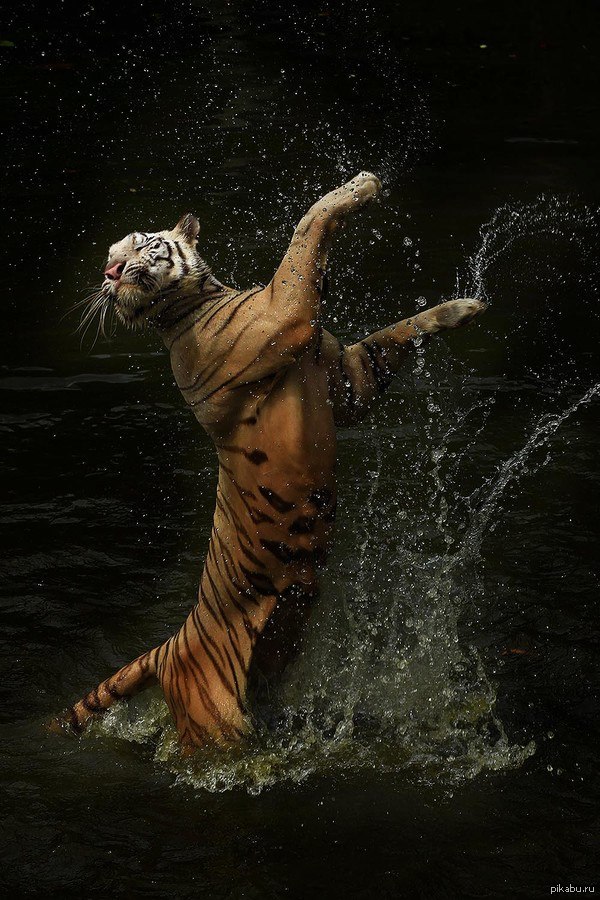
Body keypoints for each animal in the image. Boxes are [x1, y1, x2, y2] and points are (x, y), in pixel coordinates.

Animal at [55, 172, 486, 751]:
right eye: (112, 256)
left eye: (138, 244)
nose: (109, 273)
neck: (189, 303)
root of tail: (168, 646)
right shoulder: (285, 314)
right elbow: (305, 233)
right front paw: (359, 186)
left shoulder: (345, 382)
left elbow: (392, 335)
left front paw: (463, 307)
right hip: (216, 726)